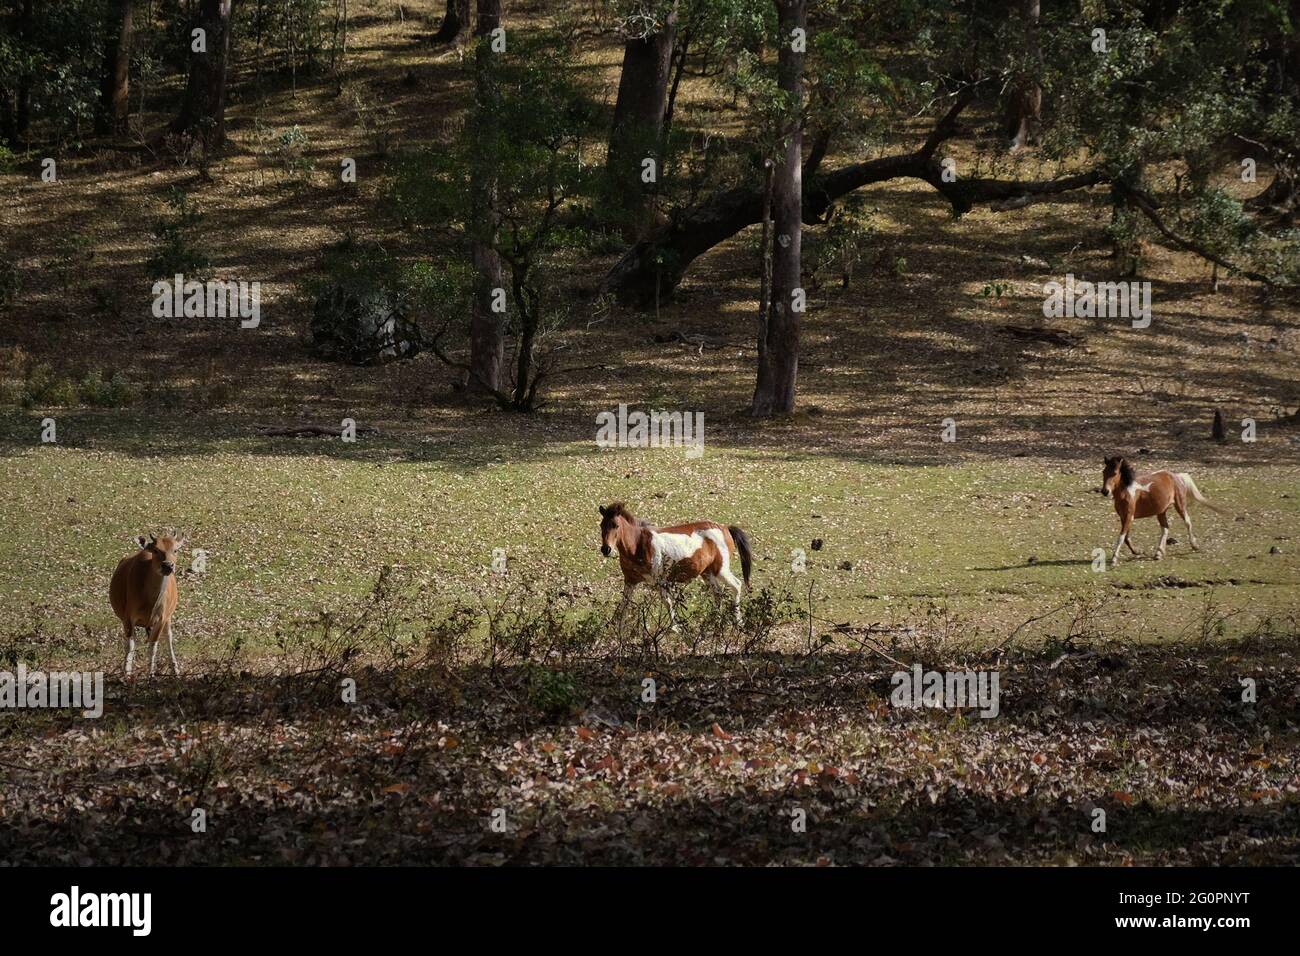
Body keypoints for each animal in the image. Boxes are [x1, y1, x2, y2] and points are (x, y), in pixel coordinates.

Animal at [597, 502, 752, 632]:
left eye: (616, 525)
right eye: (601, 525)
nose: (606, 549)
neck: (638, 545)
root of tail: (725, 528)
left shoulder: (660, 581)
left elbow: (667, 602)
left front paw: (675, 628)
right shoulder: (630, 581)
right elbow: (624, 603)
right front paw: (616, 626)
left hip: (721, 570)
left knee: (736, 585)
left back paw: (738, 622)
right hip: (707, 573)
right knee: (718, 593)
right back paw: (715, 620)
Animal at [1098, 457, 1231, 563]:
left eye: (1115, 473)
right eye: (1104, 472)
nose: (1105, 491)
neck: (1127, 492)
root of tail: (1176, 476)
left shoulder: (1129, 517)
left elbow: (1121, 537)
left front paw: (1114, 558)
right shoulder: (1123, 517)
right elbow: (1126, 537)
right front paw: (1137, 551)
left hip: (1180, 505)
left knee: (1187, 522)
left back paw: (1194, 545)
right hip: (1161, 511)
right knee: (1165, 528)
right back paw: (1159, 553)